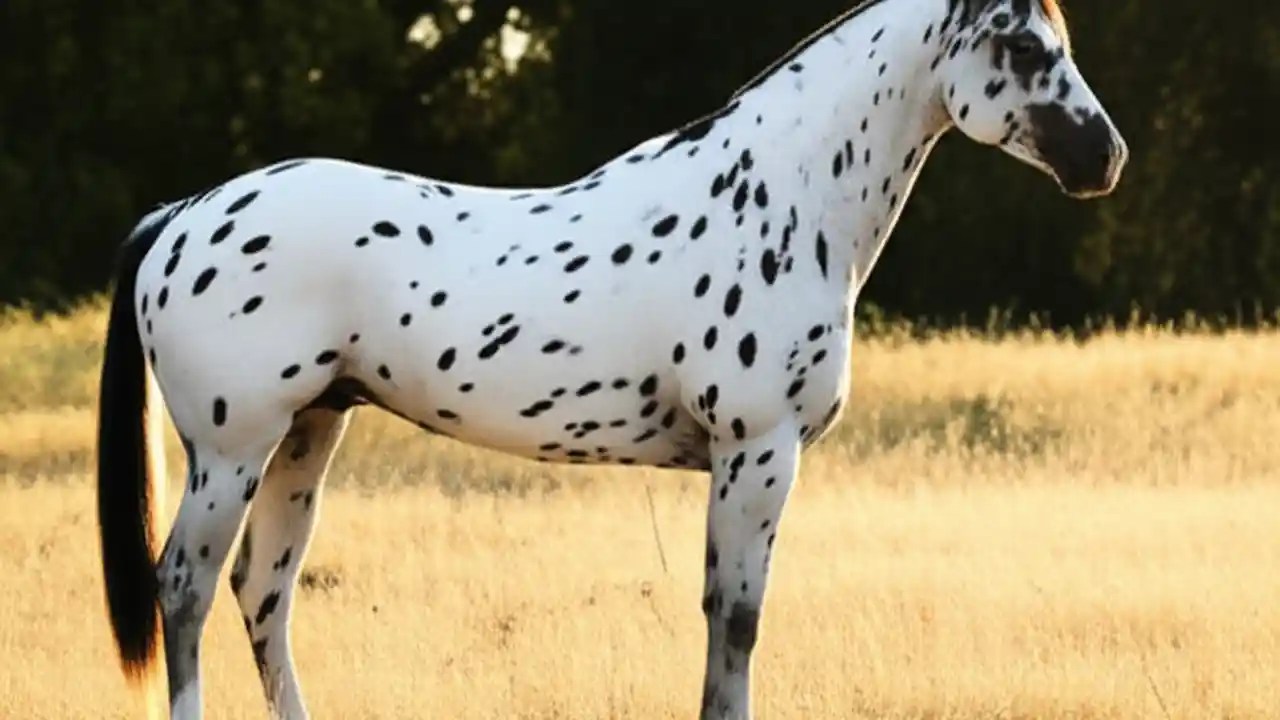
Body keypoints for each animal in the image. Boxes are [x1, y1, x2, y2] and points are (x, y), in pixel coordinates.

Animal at [95, 0, 1126, 717]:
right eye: (1024, 48)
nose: (1104, 159)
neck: (780, 202)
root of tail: (180, 215)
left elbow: (724, 614)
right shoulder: (759, 452)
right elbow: (737, 620)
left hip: (308, 434)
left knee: (262, 592)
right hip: (231, 452)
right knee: (183, 590)